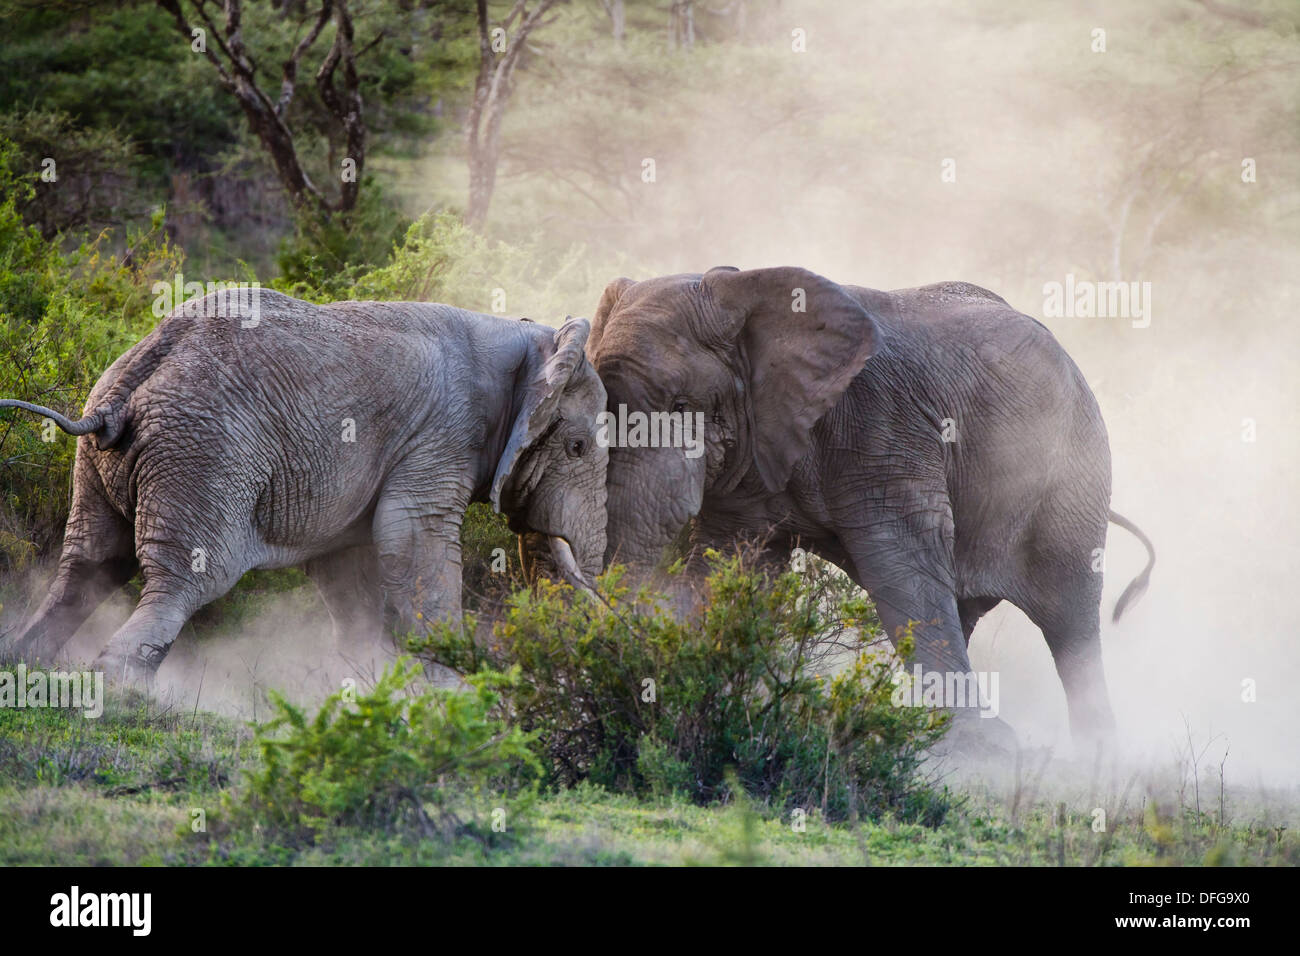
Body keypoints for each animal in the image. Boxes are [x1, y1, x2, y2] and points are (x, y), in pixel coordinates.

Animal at [1, 288, 608, 682]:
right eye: (578, 447)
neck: (527, 338)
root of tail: (137, 373)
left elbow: (347, 563)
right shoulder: (441, 435)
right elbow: (416, 540)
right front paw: (456, 694)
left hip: (110, 459)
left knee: (89, 562)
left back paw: (24, 660)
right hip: (207, 455)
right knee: (189, 576)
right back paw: (120, 684)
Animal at [586, 266, 1155, 750]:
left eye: (682, 407)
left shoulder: (884, 428)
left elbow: (901, 568)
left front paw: (981, 753)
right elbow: (729, 565)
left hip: (1072, 477)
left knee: (1069, 614)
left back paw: (1098, 757)